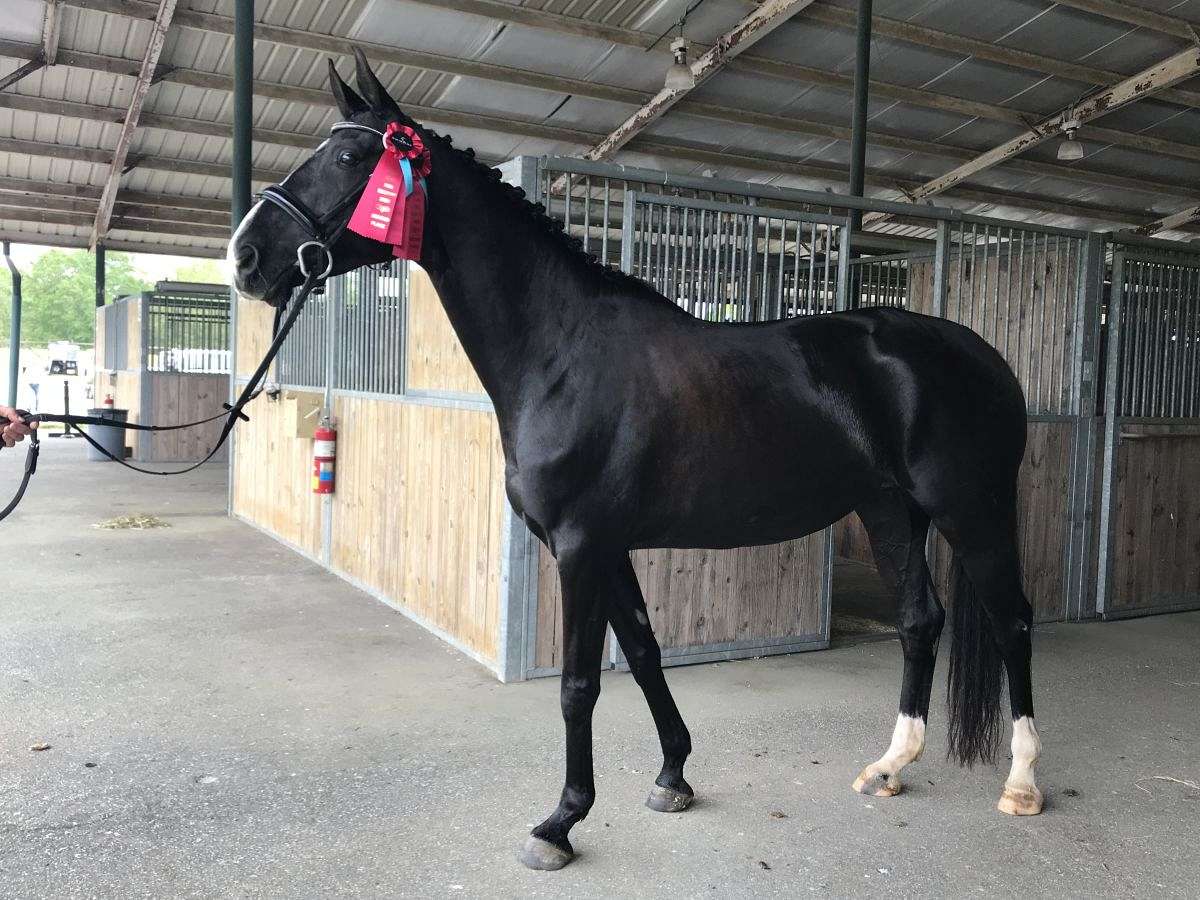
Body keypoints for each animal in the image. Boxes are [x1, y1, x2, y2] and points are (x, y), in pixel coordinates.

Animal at [231, 50, 1044, 871]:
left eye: (346, 157)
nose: (246, 257)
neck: (561, 352)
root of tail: (984, 357)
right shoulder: (608, 544)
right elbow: (646, 652)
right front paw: (673, 776)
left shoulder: (579, 546)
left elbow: (578, 685)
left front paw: (560, 822)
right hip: (888, 510)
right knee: (919, 620)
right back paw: (889, 765)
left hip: (970, 508)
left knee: (1011, 619)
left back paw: (1022, 784)